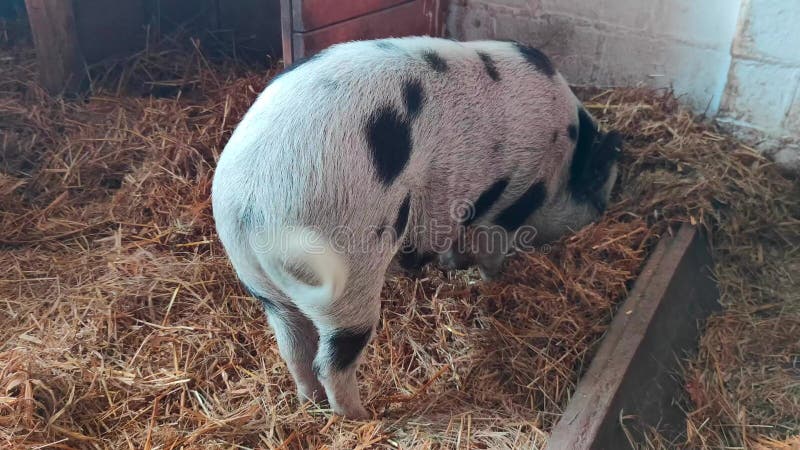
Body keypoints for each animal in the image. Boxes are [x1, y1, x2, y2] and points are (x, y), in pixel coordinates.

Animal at [211, 36, 622, 419]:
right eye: (597, 185)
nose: (601, 212)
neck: (566, 155)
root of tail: (252, 205)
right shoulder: (510, 200)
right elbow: (492, 247)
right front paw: (494, 280)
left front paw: (453, 266)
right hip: (345, 270)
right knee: (332, 361)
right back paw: (363, 418)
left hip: (260, 283)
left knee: (294, 348)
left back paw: (309, 403)